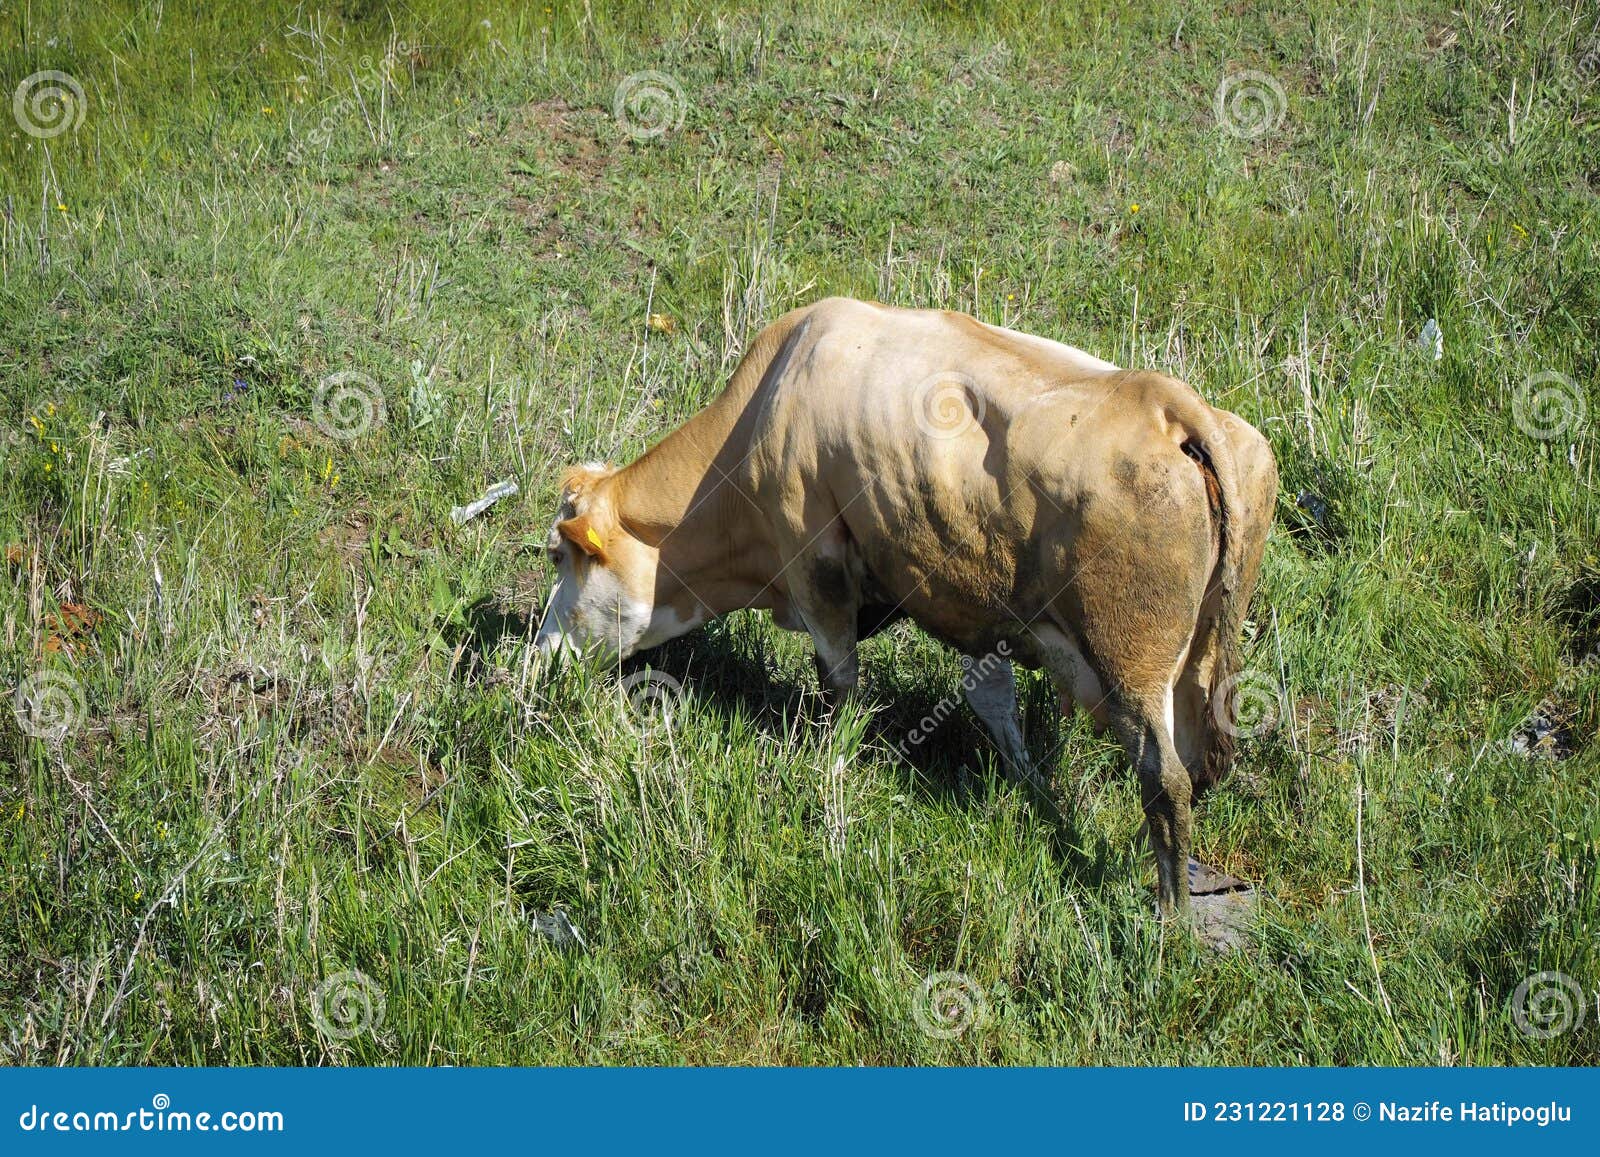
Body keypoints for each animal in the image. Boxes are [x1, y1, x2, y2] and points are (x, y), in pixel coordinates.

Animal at [536, 297, 1277, 920]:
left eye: (558, 555)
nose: (540, 660)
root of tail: (1170, 403)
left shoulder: (814, 561)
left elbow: (841, 683)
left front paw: (830, 761)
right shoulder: (981, 609)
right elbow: (993, 704)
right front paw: (1028, 786)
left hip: (1130, 659)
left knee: (1165, 778)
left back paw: (1170, 916)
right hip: (1199, 665)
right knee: (1197, 765)